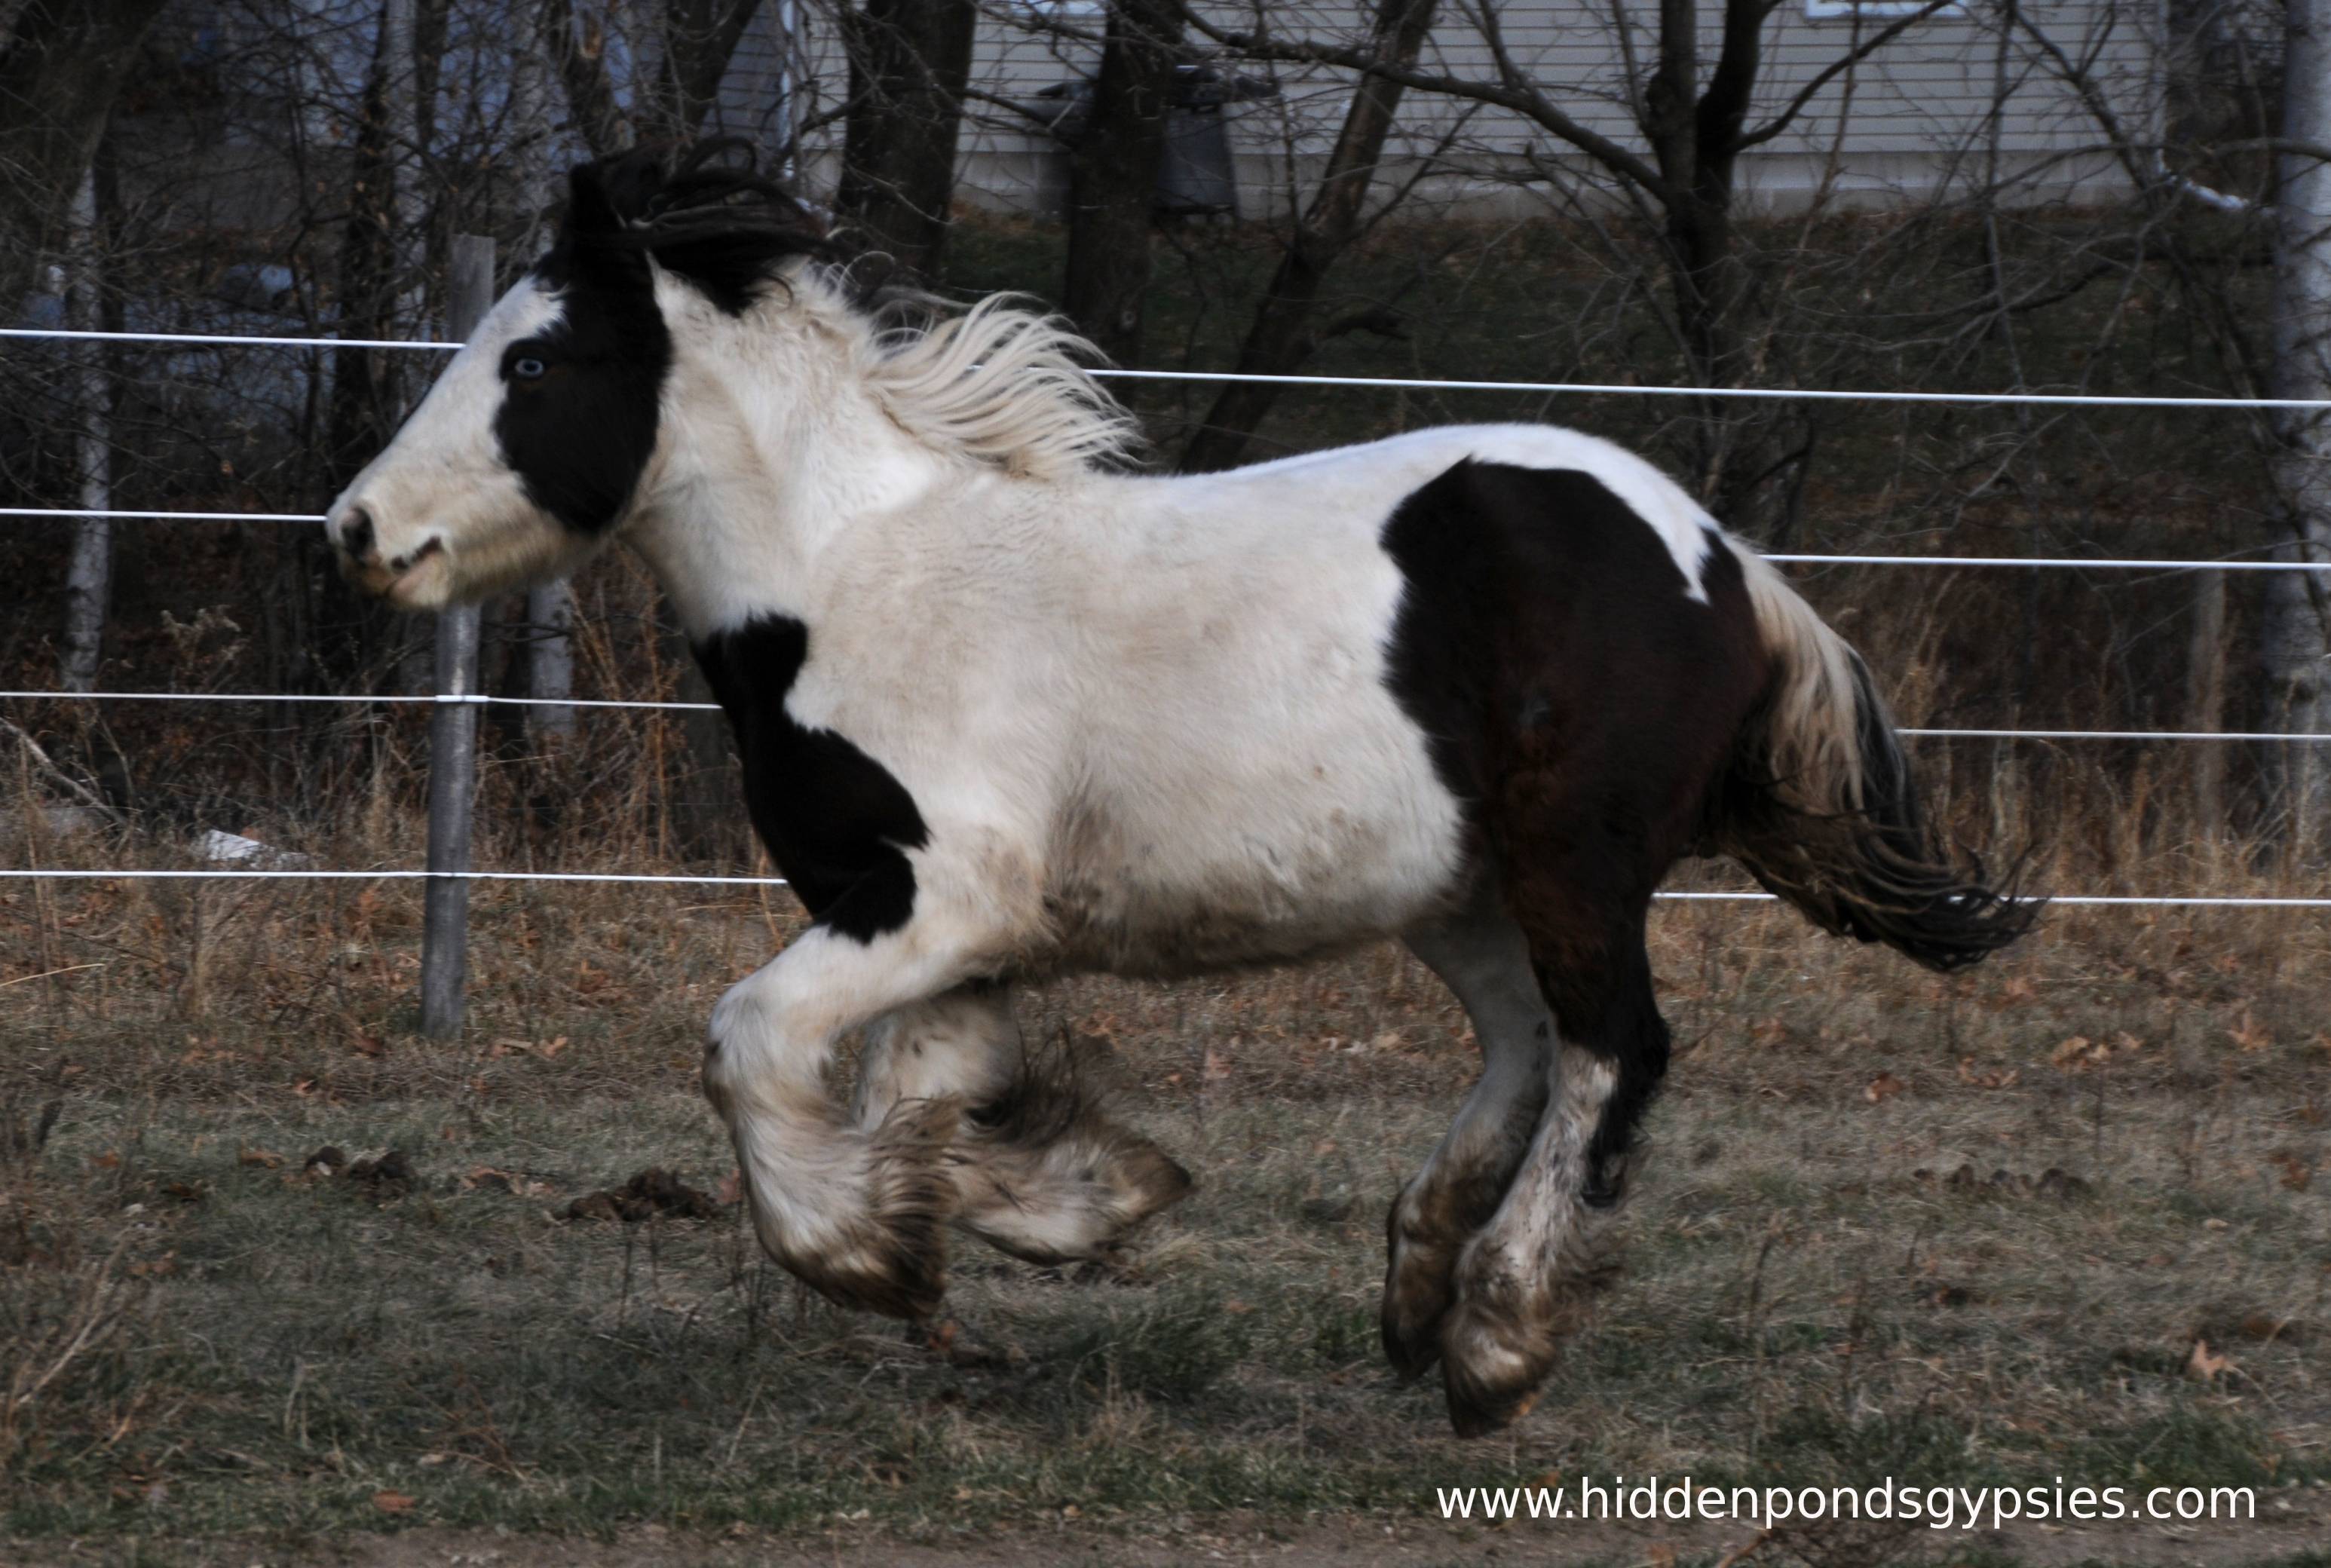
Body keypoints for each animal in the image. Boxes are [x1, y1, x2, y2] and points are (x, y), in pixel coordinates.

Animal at [327, 144, 2033, 1436]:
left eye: (531, 359)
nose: (357, 530)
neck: (854, 581)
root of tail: (1723, 560)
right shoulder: (948, 944)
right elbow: (925, 1100)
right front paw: (1074, 1201)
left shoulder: (931, 896)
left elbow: (753, 1049)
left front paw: (877, 1259)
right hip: (1460, 889)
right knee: (1528, 1047)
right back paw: (1413, 1284)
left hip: (1573, 863)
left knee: (1616, 1050)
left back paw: (1492, 1341)